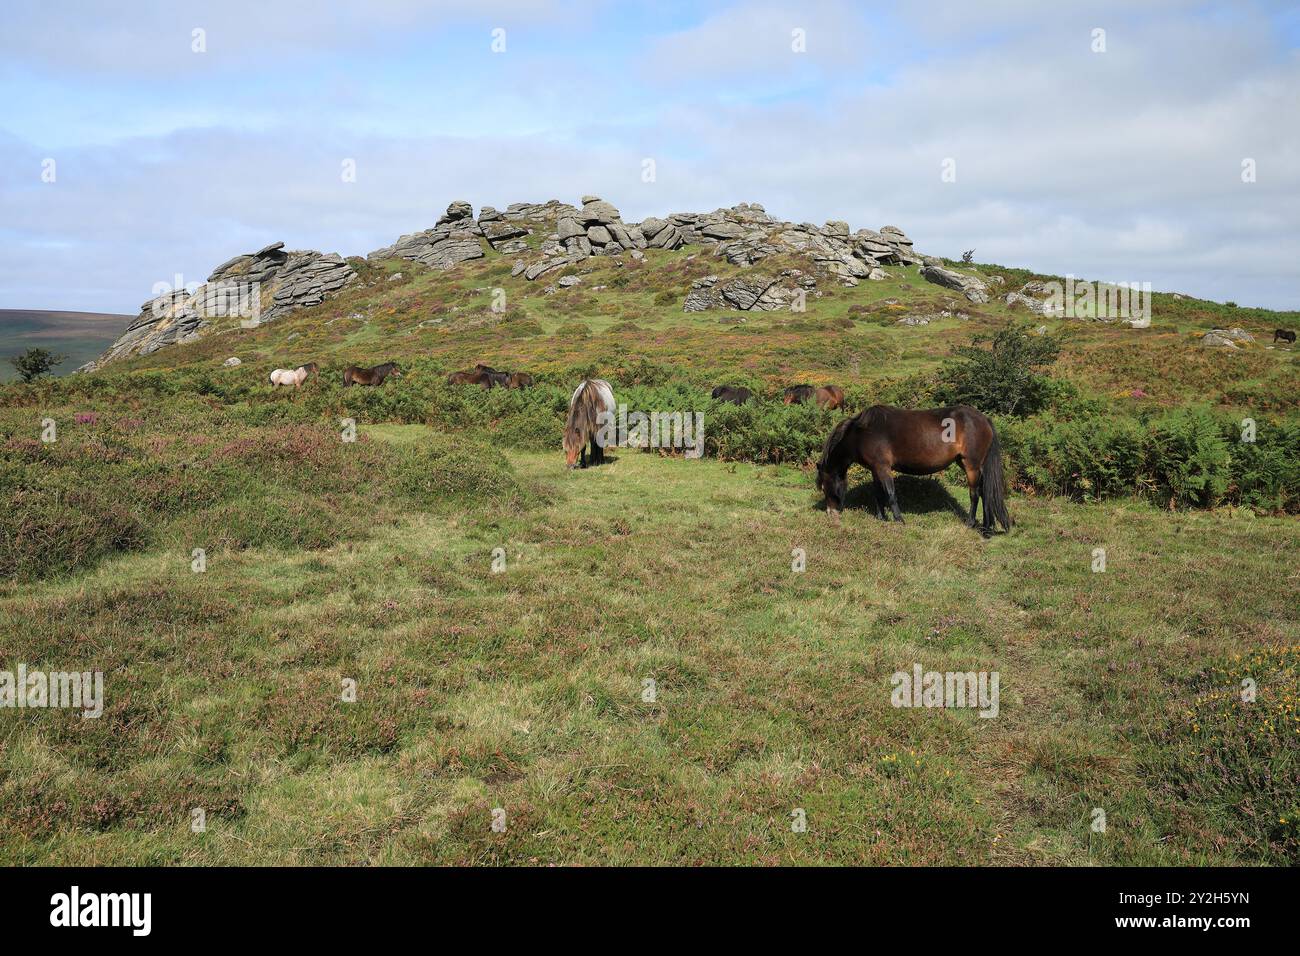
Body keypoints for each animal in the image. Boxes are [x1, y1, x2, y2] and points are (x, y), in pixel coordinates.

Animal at [816, 404, 1012, 535]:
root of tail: (984, 419)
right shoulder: (875, 469)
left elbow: (890, 494)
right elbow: (878, 493)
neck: (862, 433)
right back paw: (987, 528)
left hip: (972, 465)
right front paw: (881, 518)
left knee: (975, 494)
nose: (830, 512)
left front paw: (899, 520)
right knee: (986, 493)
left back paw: (972, 524)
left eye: (825, 487)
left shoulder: (883, 467)